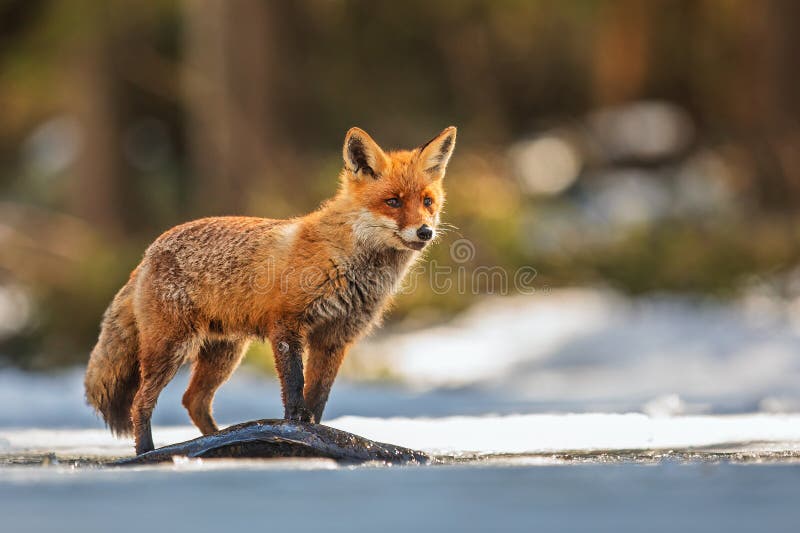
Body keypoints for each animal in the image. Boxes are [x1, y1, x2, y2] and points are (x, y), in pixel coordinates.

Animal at [85, 126, 456, 455]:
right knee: (141, 403)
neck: (348, 264)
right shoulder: (287, 325)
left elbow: (318, 397)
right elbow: (294, 390)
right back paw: (146, 452)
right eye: (392, 202)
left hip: (224, 353)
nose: (424, 232)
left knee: (193, 401)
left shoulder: (335, 338)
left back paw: (219, 440)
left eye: (427, 201)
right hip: (171, 348)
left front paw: (313, 434)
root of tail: (148, 253)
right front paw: (295, 428)